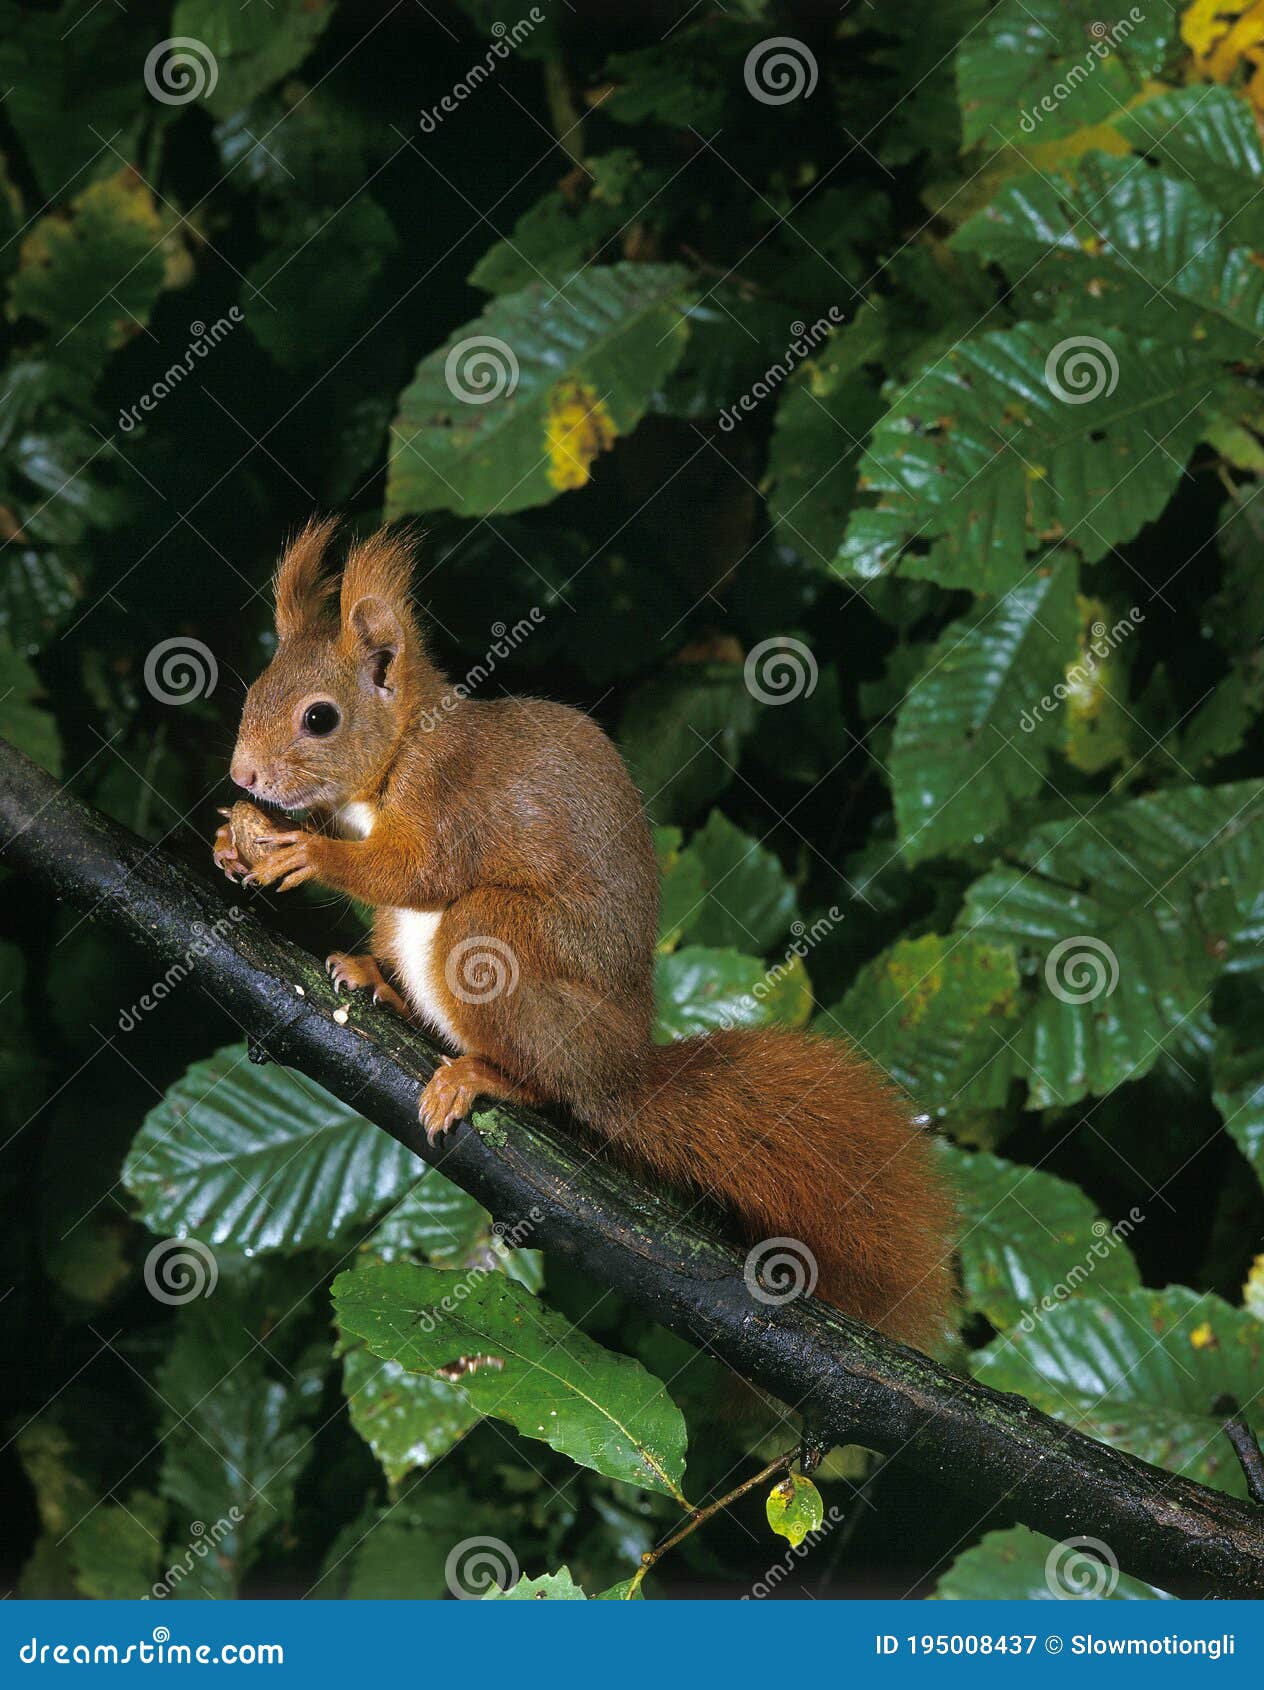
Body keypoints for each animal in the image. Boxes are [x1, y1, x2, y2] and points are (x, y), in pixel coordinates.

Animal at [214, 520, 956, 1352]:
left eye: (320, 718)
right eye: (254, 691)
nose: (243, 777)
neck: (403, 745)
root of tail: (617, 1073)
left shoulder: (448, 797)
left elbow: (417, 872)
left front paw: (306, 854)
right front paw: (233, 841)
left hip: (498, 945)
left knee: (542, 1078)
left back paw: (482, 1076)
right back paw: (381, 984)